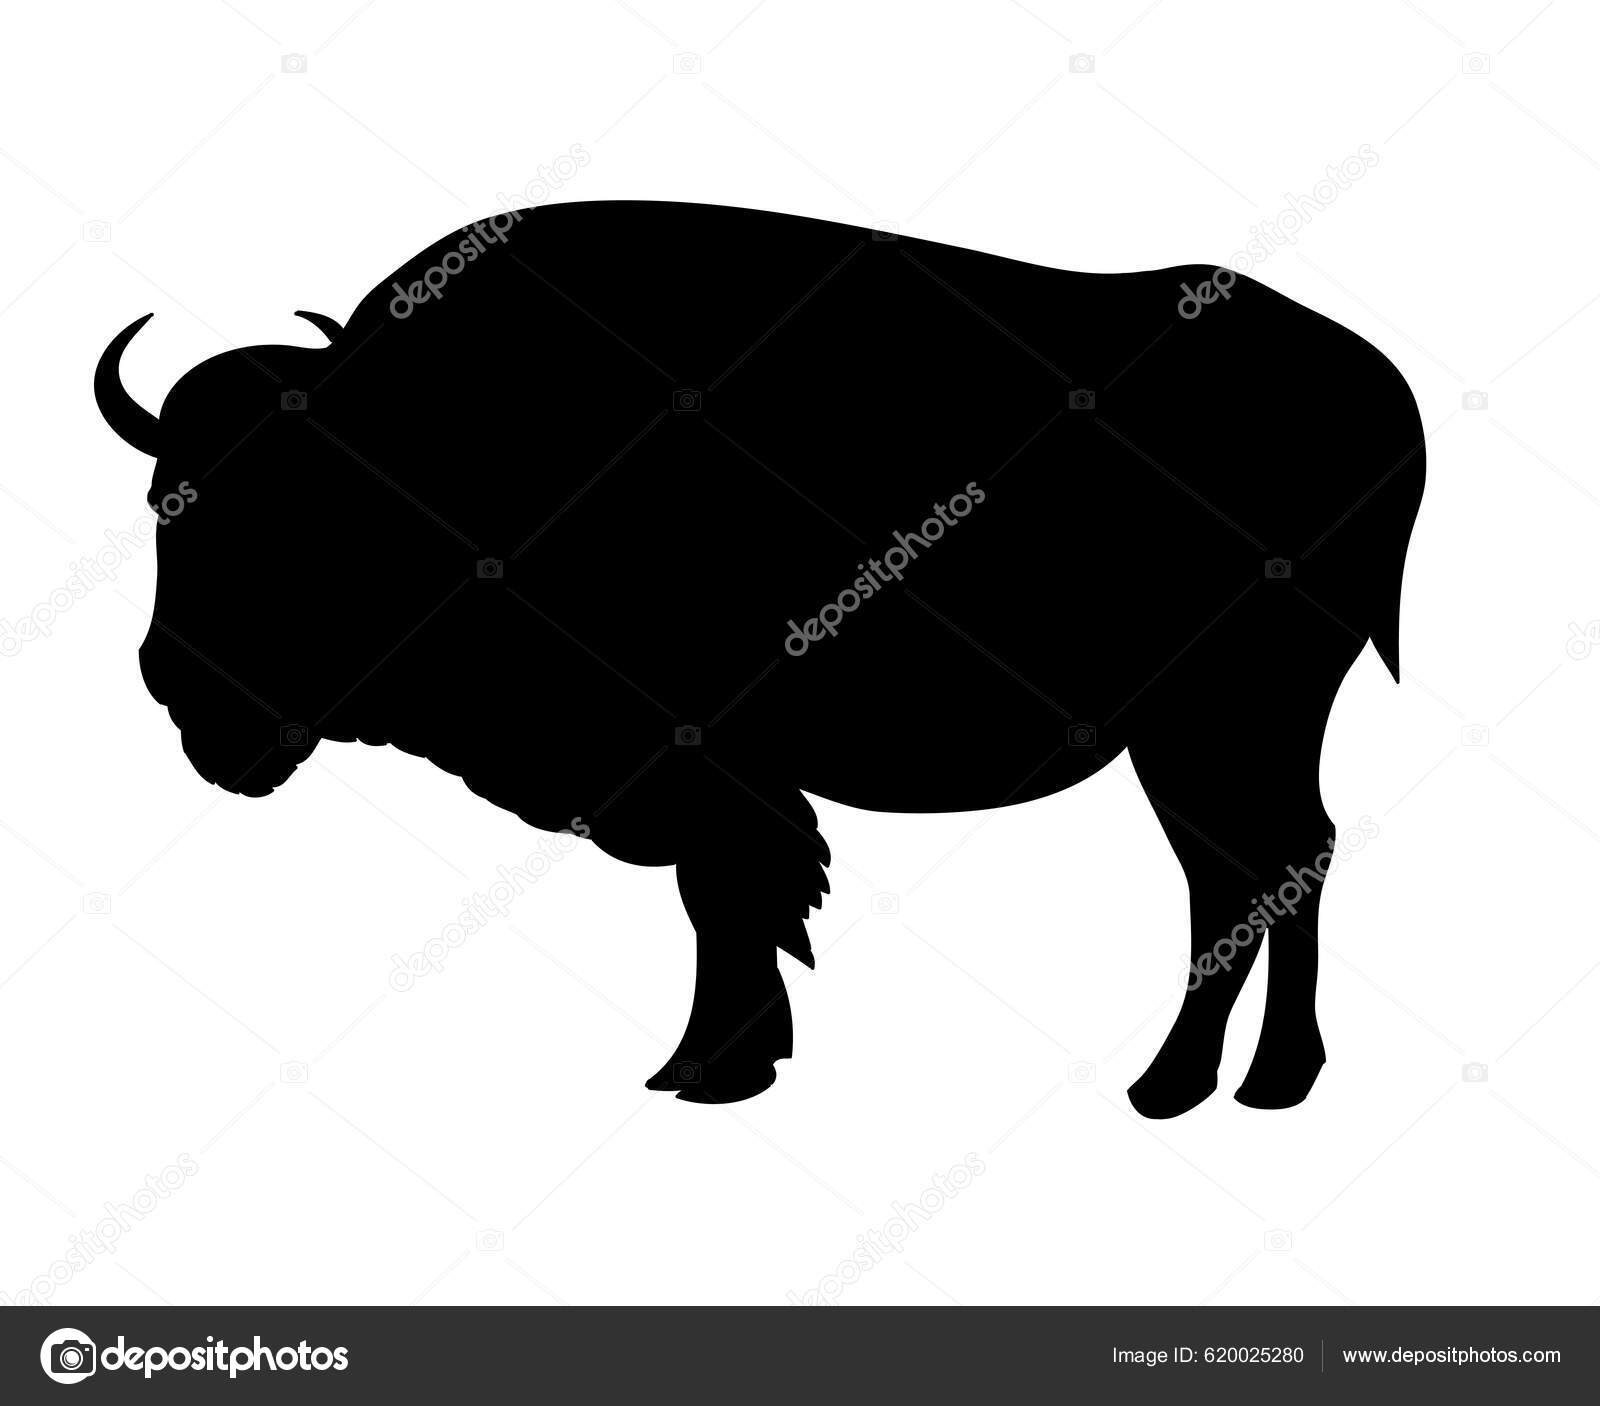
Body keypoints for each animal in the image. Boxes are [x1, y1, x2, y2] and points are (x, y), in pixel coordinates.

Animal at [95, 201, 1424, 1116]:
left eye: (303, 516)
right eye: (167, 499)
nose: (175, 684)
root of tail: (1383, 394)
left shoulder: (709, 763)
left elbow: (735, 894)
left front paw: (711, 1069)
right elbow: (730, 897)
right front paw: (710, 1062)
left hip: (1224, 718)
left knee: (1262, 863)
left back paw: (1207, 1084)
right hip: (1211, 732)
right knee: (1260, 862)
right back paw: (1233, 1082)